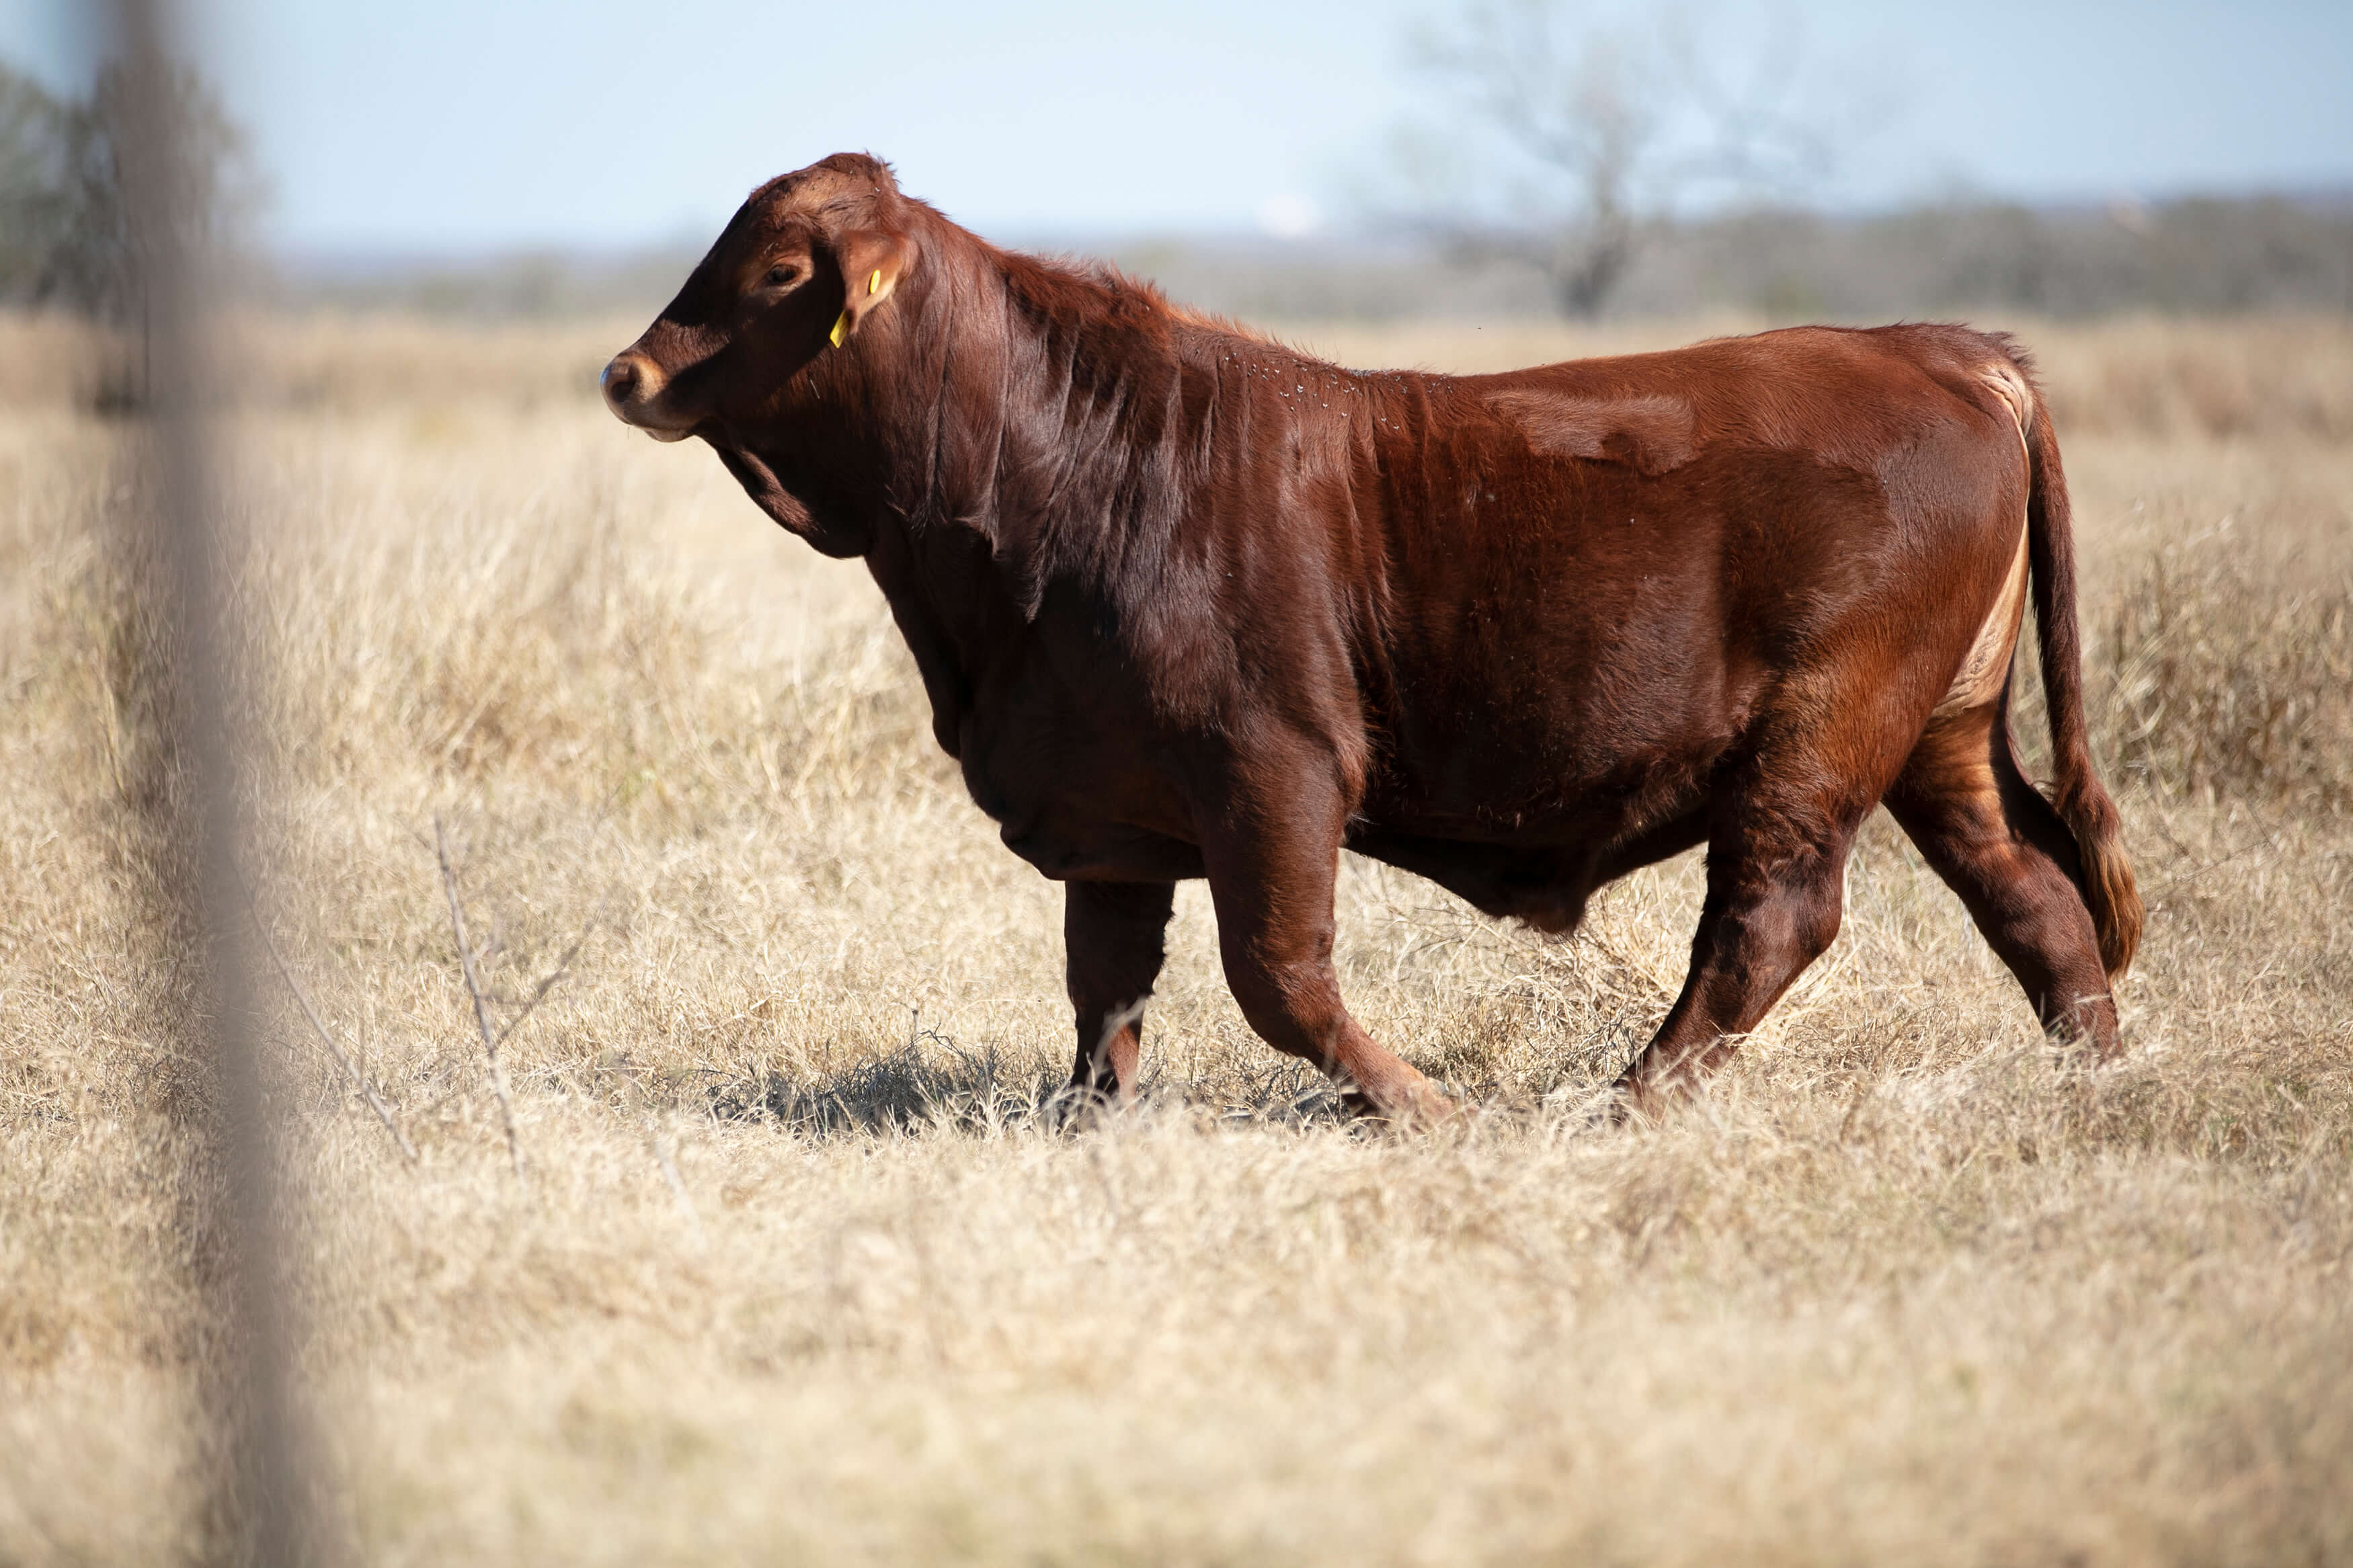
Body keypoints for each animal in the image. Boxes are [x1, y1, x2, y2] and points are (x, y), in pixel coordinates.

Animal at [601, 153, 2142, 1123]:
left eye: (780, 266)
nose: (628, 370)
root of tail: (1935, 345)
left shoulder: (1273, 770)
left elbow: (1279, 975)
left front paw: (1421, 1108)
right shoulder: (1110, 811)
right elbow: (1106, 992)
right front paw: (1090, 1126)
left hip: (1823, 730)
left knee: (1770, 922)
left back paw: (1626, 1101)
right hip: (1941, 737)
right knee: (2034, 900)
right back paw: (2100, 1083)